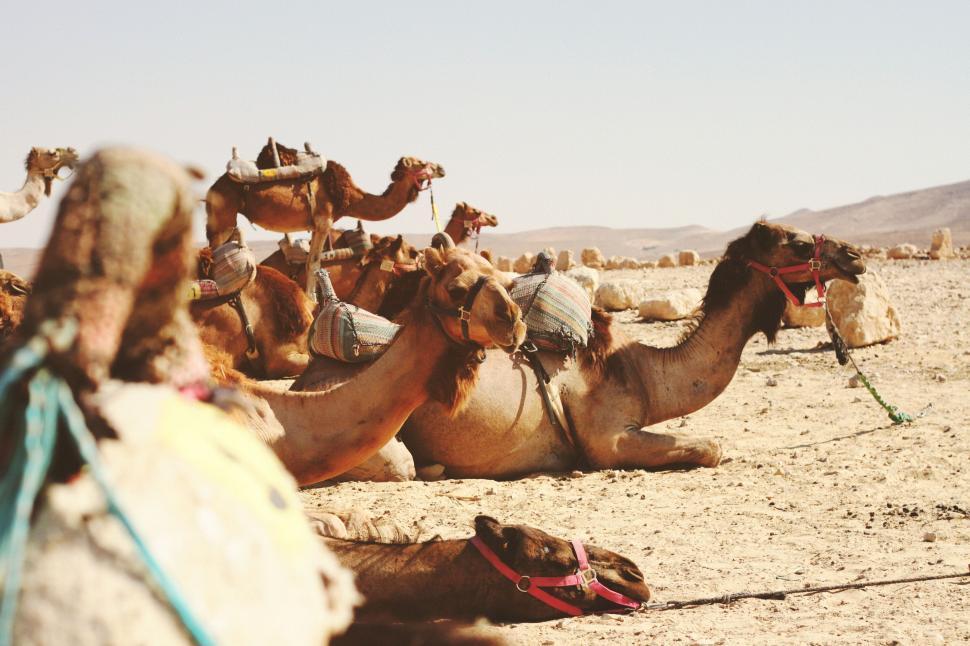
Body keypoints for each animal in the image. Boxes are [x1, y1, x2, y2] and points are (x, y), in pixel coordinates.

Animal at [205, 140, 445, 298]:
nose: (441, 168)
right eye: (421, 163)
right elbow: (313, 264)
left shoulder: (315, 226)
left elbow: (312, 263)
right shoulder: (323, 221)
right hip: (223, 219)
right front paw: (311, 301)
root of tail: (211, 189)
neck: (349, 197)